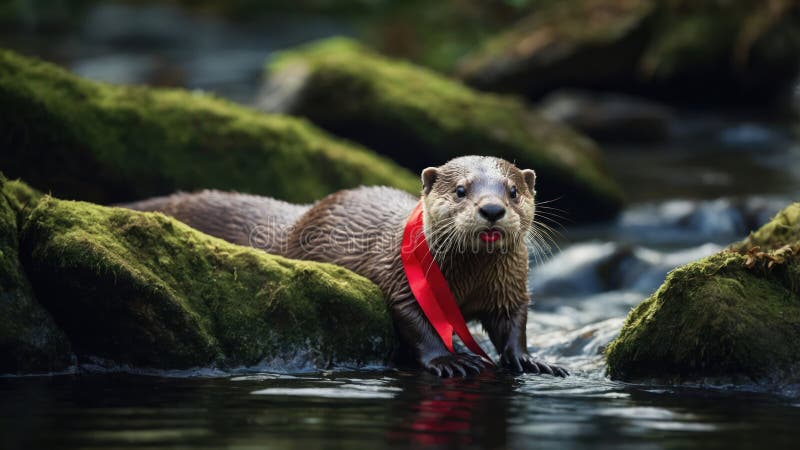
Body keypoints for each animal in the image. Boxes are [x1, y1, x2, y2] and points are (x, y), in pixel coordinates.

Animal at [123, 156, 568, 378]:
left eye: (513, 191)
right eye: (461, 190)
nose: (492, 209)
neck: (470, 282)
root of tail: (297, 221)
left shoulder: (510, 288)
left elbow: (514, 324)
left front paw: (531, 361)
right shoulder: (401, 280)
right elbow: (417, 324)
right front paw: (449, 360)